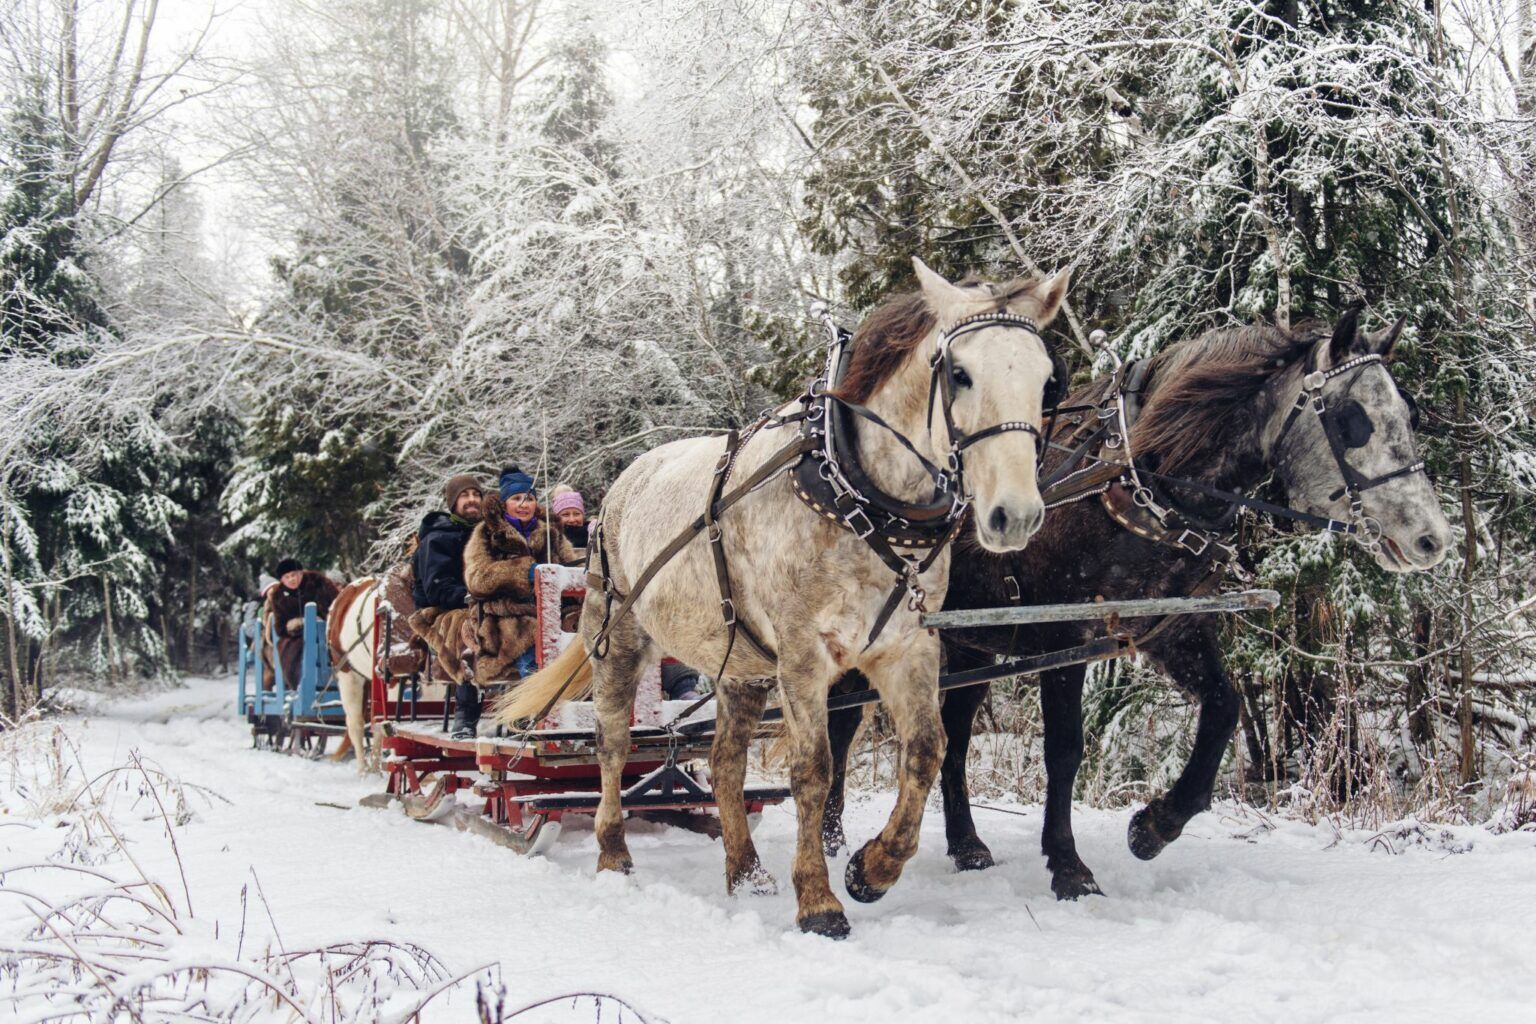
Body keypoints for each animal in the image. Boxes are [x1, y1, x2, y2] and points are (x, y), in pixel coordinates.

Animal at [496, 258, 1070, 937]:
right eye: (959, 374)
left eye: (1047, 382)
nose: (1016, 515)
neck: (860, 494)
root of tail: (624, 482)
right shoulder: (803, 653)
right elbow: (812, 769)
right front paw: (819, 900)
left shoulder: (906, 646)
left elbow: (927, 751)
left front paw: (873, 869)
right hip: (619, 635)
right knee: (612, 745)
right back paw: (614, 853)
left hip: (739, 665)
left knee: (724, 762)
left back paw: (745, 871)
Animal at [822, 307, 1453, 900]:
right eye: (1353, 421)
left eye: (1413, 415)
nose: (1433, 539)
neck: (1140, 479)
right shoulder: (1065, 636)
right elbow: (1065, 749)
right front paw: (1069, 868)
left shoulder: (1172, 631)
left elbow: (1224, 709)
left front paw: (1155, 827)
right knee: (842, 722)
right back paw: (830, 835)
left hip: (971, 642)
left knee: (953, 733)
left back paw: (967, 845)